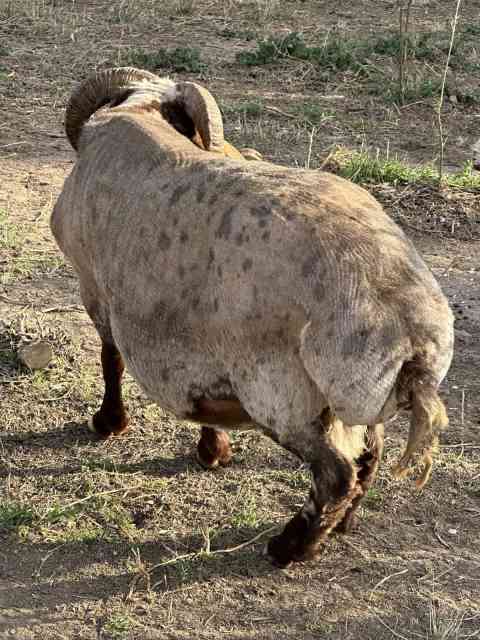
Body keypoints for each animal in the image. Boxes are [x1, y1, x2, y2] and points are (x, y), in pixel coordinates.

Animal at [51, 67, 454, 568]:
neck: (139, 114)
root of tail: (407, 324)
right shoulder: (197, 345)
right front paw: (213, 451)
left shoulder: (95, 290)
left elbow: (111, 361)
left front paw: (109, 423)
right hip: (350, 399)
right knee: (368, 459)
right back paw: (341, 528)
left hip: (285, 395)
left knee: (337, 475)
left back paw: (289, 548)